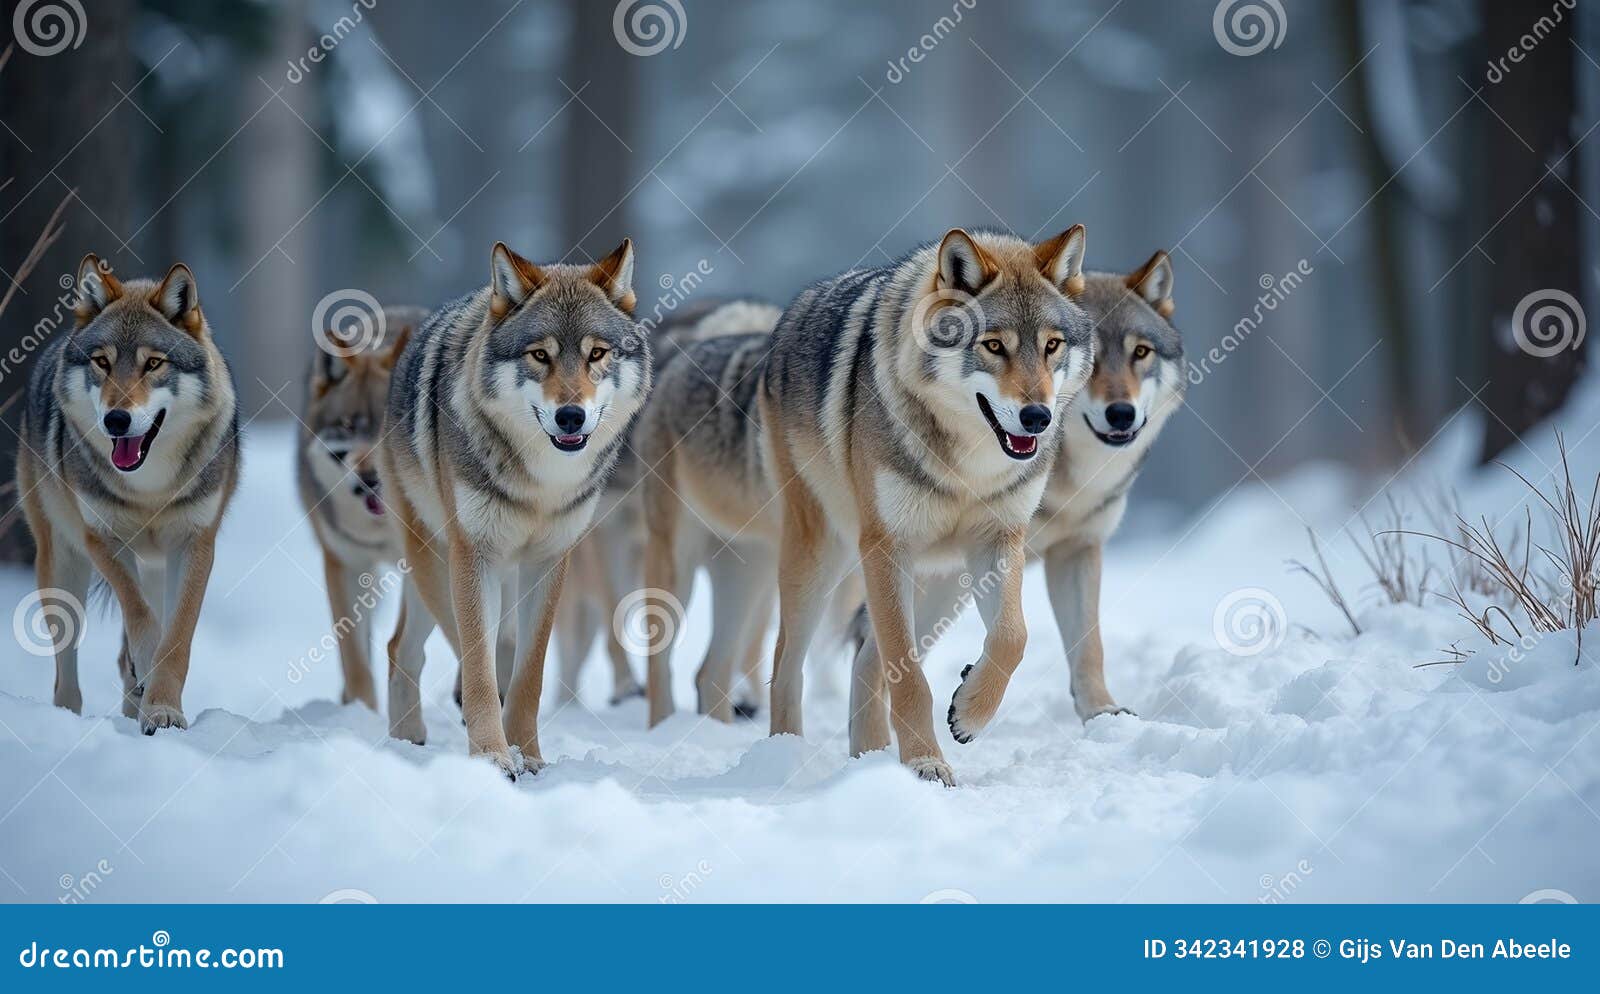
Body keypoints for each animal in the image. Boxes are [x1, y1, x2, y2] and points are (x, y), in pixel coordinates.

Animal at [15, 255, 240, 733]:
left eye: (153, 364)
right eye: (102, 362)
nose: (116, 420)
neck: (149, 489)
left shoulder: (196, 544)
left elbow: (176, 638)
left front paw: (163, 710)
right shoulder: (100, 538)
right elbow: (140, 618)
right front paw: (148, 674)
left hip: (154, 566)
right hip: (63, 570)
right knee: (66, 670)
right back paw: (68, 716)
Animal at [294, 305, 425, 709]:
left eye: (386, 424)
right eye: (348, 425)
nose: (370, 478)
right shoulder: (345, 564)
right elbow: (355, 661)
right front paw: (361, 713)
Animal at [379, 239, 649, 776]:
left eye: (597, 354)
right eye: (540, 355)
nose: (571, 415)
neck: (541, 486)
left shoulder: (550, 563)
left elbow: (529, 675)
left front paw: (529, 754)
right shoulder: (473, 555)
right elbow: (480, 665)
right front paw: (492, 757)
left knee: (424, 646)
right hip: (434, 558)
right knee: (417, 647)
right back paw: (407, 744)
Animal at [758, 225, 1094, 784]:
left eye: (1051, 346)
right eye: (994, 346)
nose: (1038, 417)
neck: (967, 471)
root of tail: (791, 315)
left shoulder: (999, 542)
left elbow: (1012, 637)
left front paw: (969, 712)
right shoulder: (885, 545)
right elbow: (910, 675)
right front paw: (925, 764)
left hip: (943, 581)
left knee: (866, 662)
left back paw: (868, 761)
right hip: (822, 558)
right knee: (787, 664)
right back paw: (783, 762)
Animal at [846, 252, 1184, 756]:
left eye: (1140, 353)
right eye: (1093, 361)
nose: (1122, 413)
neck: (1069, 483)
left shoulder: (1076, 549)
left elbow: (1088, 643)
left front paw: (1102, 712)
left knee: (872, 652)